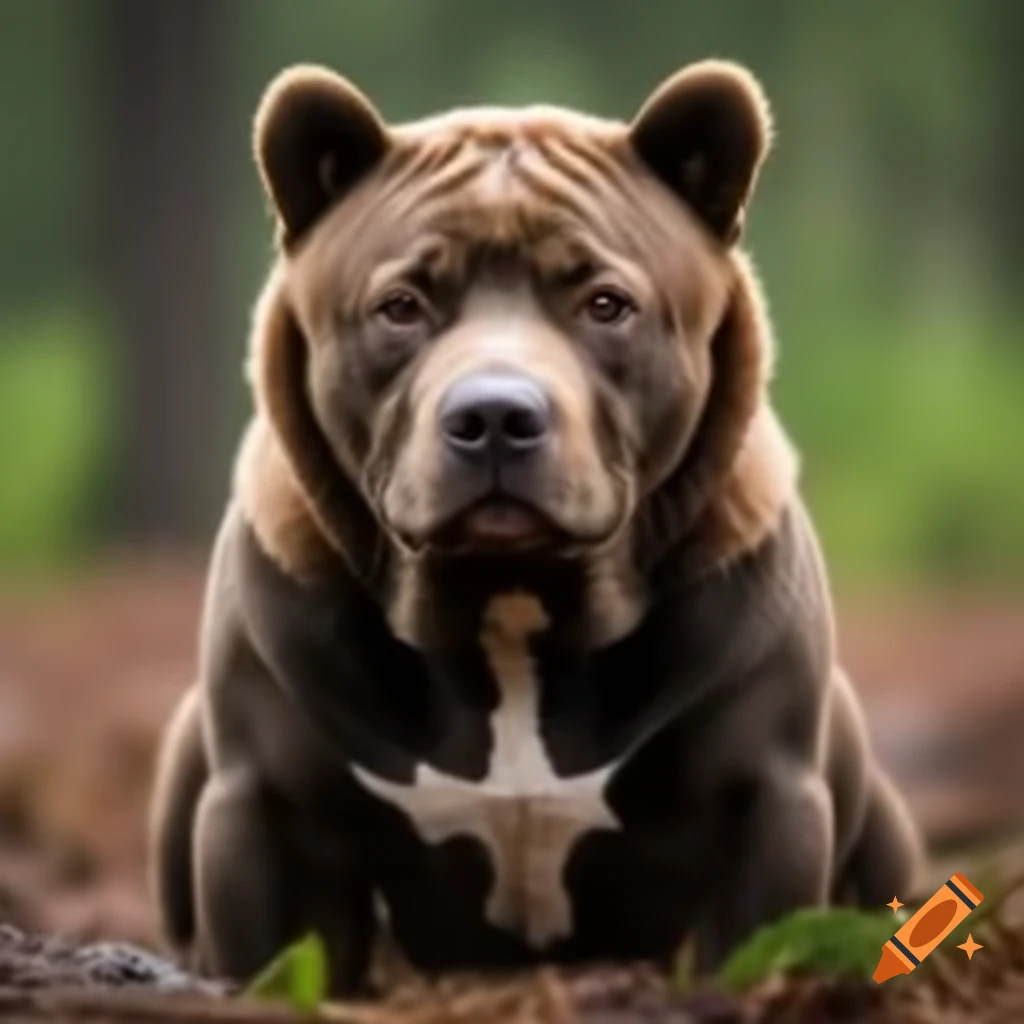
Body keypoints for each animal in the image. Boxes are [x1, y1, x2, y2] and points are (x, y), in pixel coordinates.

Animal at [148, 59, 921, 994]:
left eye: (606, 304)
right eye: (401, 306)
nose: (493, 415)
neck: (511, 603)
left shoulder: (767, 791)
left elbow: (757, 934)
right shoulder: (267, 801)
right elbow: (281, 950)